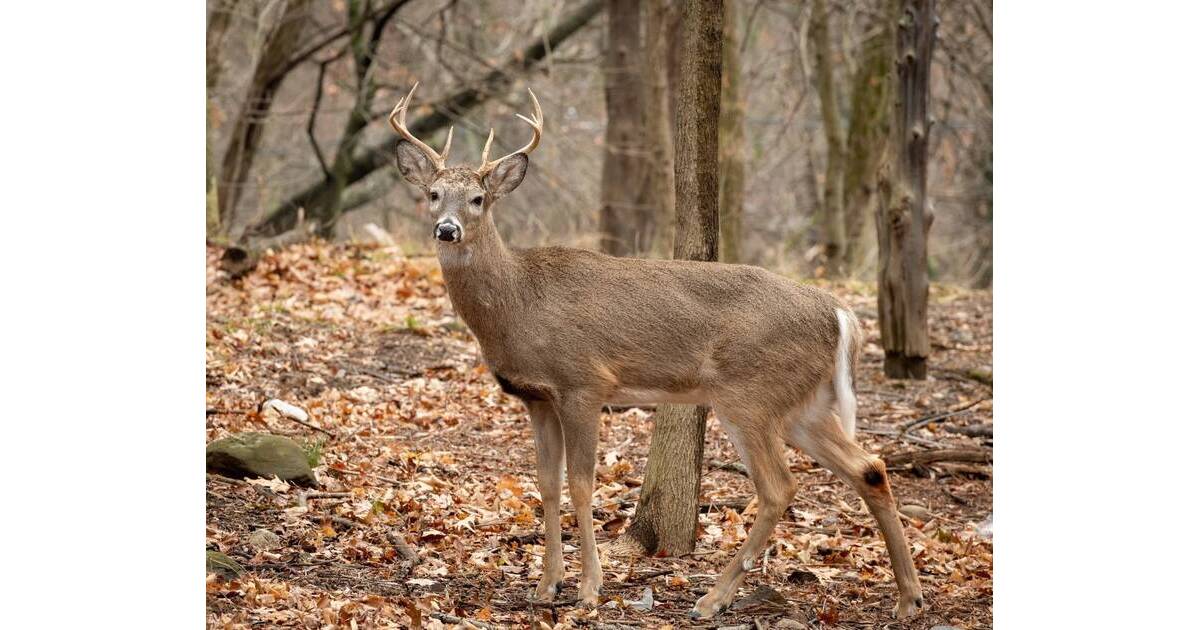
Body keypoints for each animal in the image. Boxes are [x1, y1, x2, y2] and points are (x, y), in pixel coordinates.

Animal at [388, 83, 924, 620]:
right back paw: (909, 599)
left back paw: (712, 599)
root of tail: (837, 310)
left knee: (779, 487)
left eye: (479, 199)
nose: (447, 229)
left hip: (749, 394)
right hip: (802, 404)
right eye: (433, 195)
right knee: (869, 468)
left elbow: (582, 484)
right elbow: (547, 483)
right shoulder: (536, 397)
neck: (518, 303)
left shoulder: (583, 383)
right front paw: (546, 586)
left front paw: (589, 588)